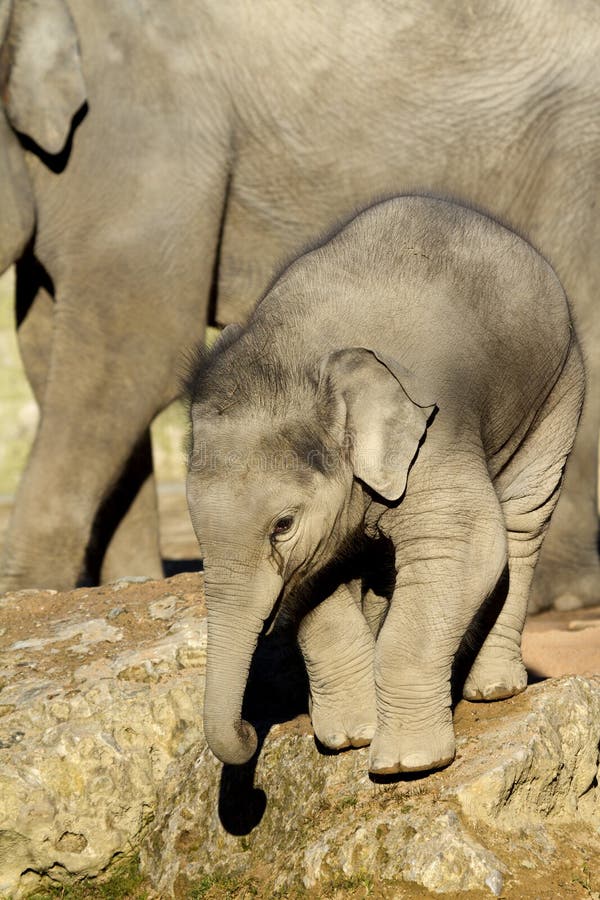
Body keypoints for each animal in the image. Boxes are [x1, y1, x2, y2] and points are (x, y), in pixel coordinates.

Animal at [1, 0, 599, 605]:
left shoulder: (142, 127)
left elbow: (136, 348)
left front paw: (28, 591)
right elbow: (46, 348)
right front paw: (130, 581)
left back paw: (561, 595)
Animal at [185, 195, 585, 774]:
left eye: (283, 525)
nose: (249, 730)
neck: (299, 352)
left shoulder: (436, 433)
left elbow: (466, 547)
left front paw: (405, 764)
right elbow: (316, 587)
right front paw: (352, 738)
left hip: (560, 390)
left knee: (522, 527)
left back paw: (491, 690)